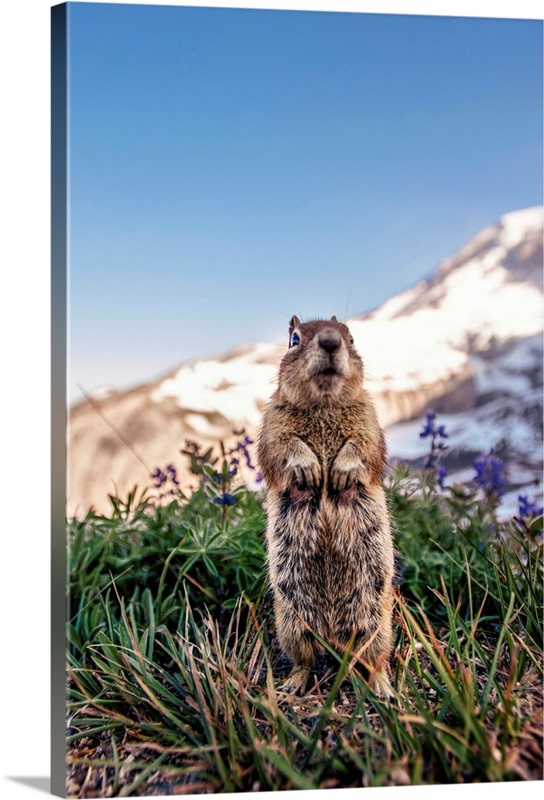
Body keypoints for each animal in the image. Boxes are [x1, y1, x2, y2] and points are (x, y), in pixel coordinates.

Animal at [257, 315, 394, 695]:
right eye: (293, 339)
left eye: (352, 337)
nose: (332, 341)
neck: (324, 405)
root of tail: (333, 635)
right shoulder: (272, 422)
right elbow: (281, 446)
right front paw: (309, 468)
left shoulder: (369, 419)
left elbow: (364, 445)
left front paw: (341, 472)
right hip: (290, 621)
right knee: (305, 658)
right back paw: (292, 684)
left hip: (376, 622)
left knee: (374, 658)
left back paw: (383, 686)